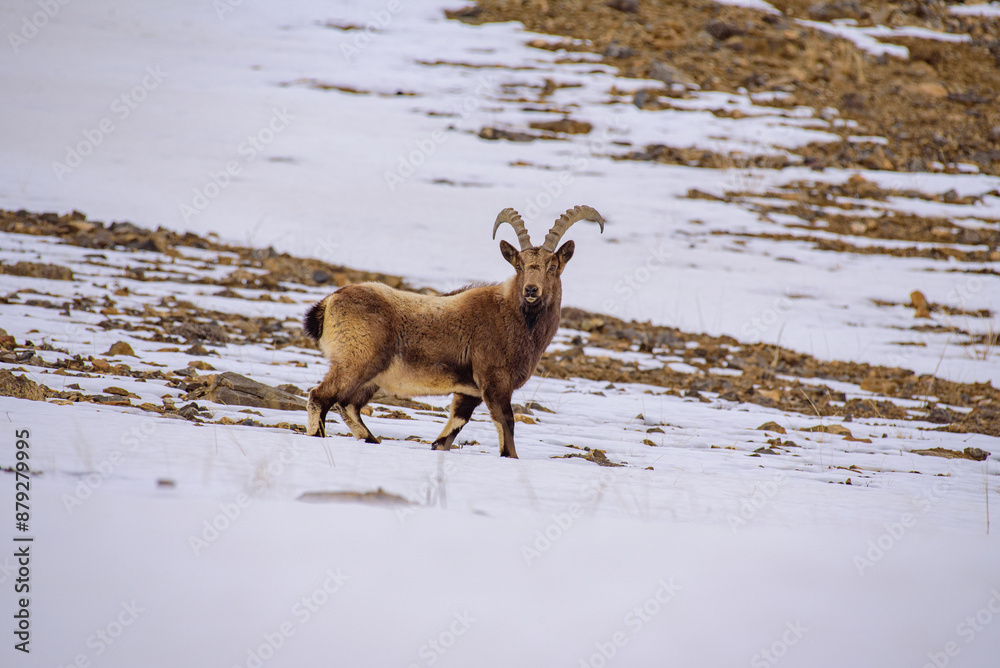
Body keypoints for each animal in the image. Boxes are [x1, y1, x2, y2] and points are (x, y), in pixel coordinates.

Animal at [301, 205, 604, 458]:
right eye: (519, 265)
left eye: (553, 266)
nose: (531, 290)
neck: (516, 318)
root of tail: (330, 303)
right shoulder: (495, 380)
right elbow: (506, 424)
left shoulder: (469, 390)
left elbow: (452, 428)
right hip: (356, 362)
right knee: (321, 397)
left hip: (372, 376)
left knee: (348, 405)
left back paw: (372, 440)